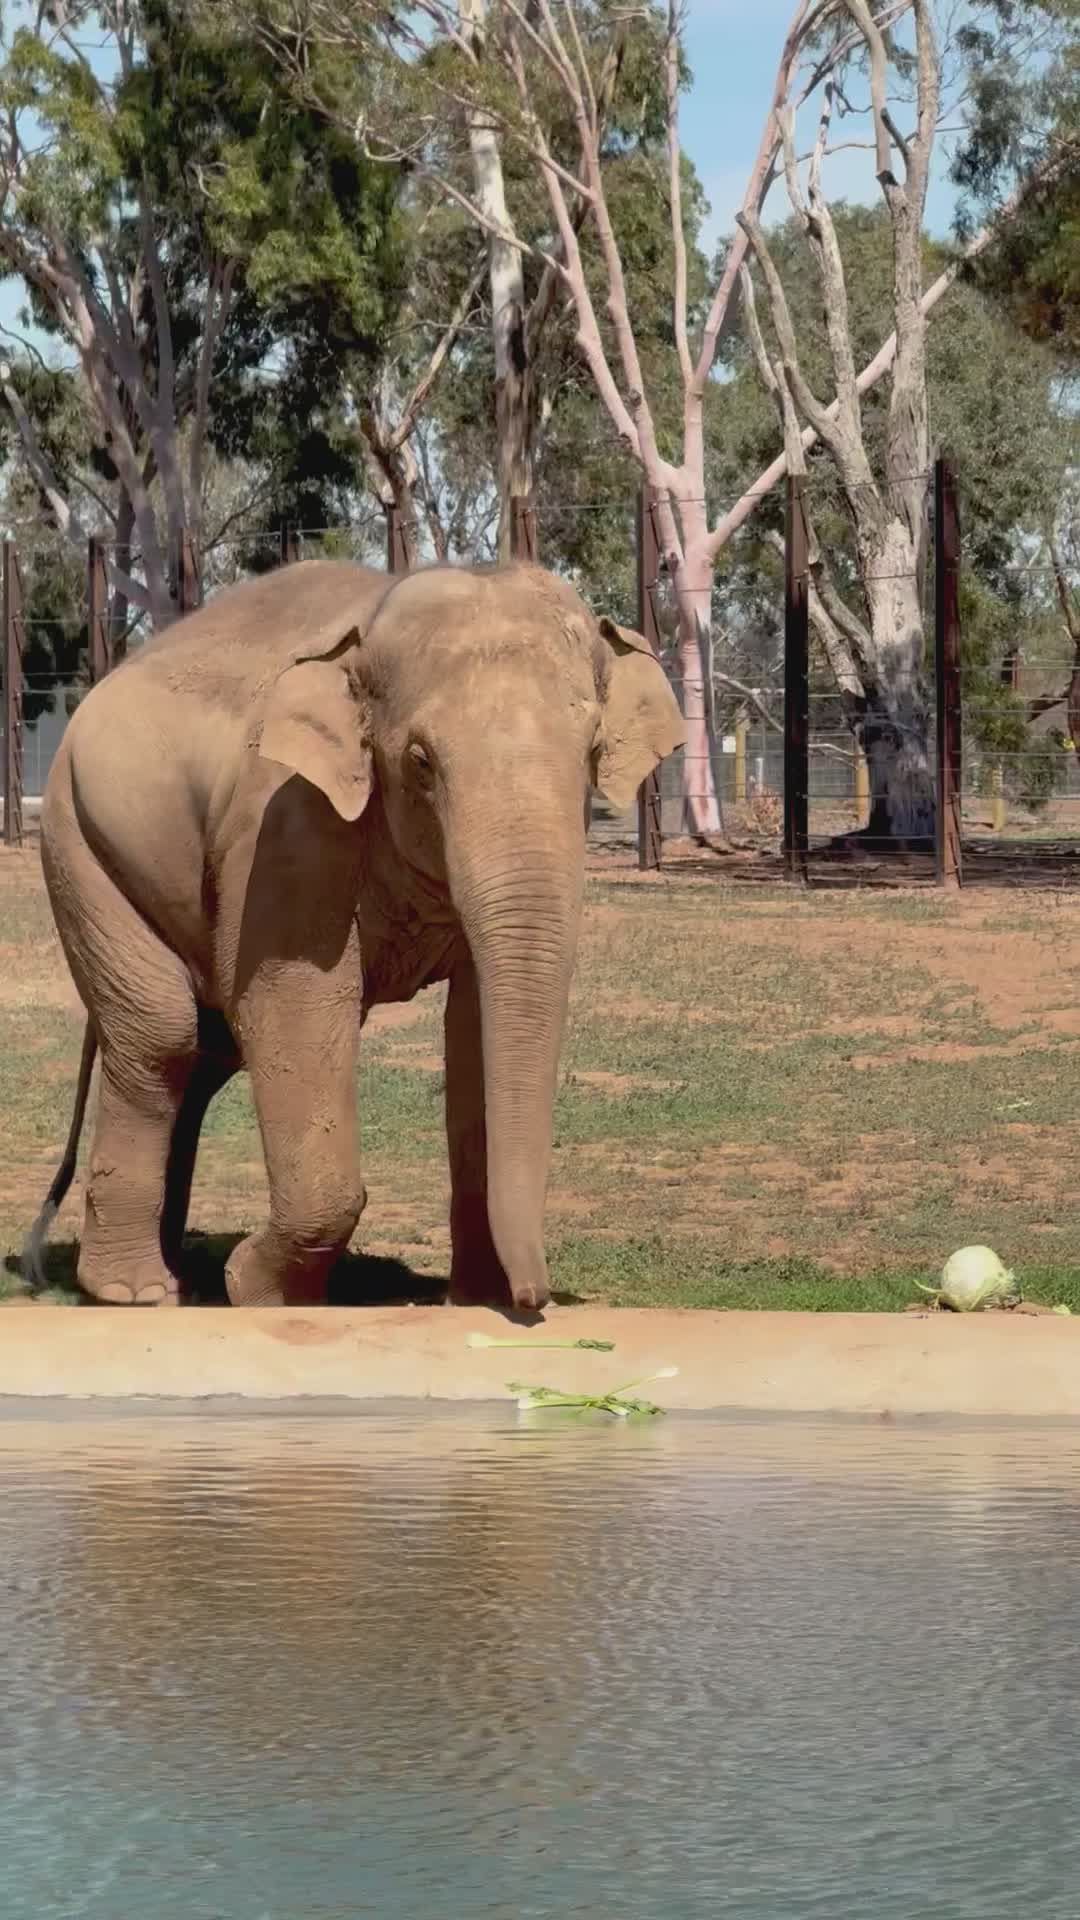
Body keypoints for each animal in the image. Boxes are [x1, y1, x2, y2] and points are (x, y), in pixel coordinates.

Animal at [26, 557, 684, 1313]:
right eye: (421, 761)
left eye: (594, 751)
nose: (532, 1299)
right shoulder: (283, 825)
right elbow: (293, 1006)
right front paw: (259, 1291)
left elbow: (475, 1031)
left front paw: (471, 1300)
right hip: (80, 842)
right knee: (162, 1035)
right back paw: (134, 1292)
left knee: (204, 1049)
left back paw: (176, 1279)